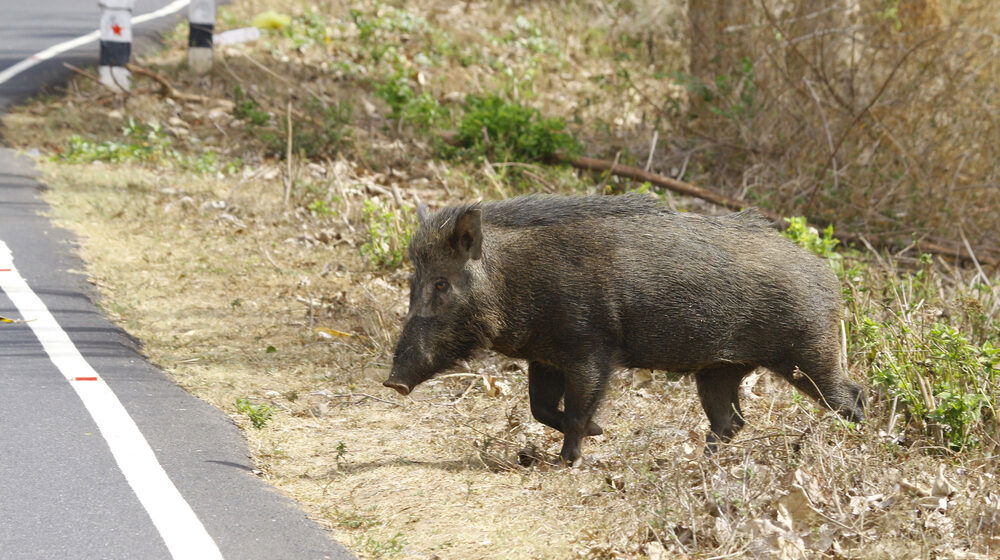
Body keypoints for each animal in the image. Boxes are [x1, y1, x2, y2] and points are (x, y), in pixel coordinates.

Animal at [383, 193, 865, 465]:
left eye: (441, 284)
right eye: (412, 282)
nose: (393, 383)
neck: (514, 279)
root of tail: (832, 279)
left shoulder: (591, 347)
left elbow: (577, 408)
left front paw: (570, 460)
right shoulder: (546, 356)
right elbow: (541, 408)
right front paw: (597, 435)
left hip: (811, 354)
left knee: (852, 397)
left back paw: (861, 443)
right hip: (719, 369)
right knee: (731, 421)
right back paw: (700, 466)